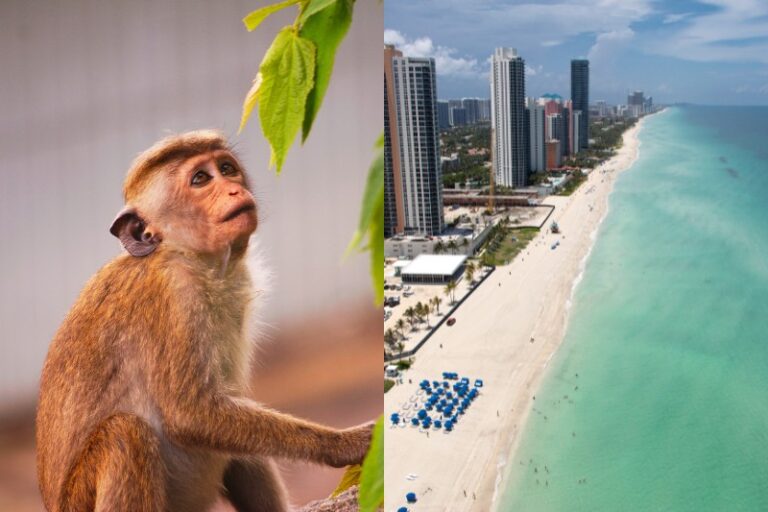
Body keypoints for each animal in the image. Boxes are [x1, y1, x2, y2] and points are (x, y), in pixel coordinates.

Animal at [36, 130, 373, 512]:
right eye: (200, 179)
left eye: (226, 169)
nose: (234, 190)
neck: (187, 254)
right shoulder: (173, 295)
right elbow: (189, 413)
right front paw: (344, 444)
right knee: (126, 435)